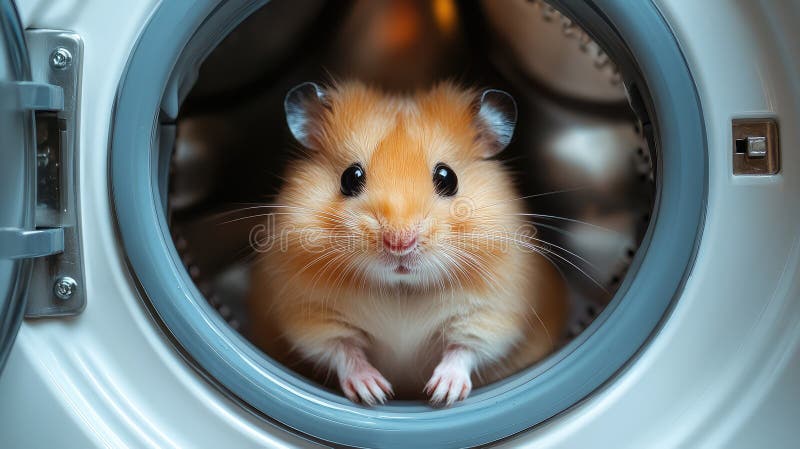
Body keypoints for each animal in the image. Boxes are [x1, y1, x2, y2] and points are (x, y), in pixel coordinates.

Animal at [247, 80, 568, 406]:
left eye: (447, 178)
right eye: (350, 177)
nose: (399, 242)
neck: (402, 289)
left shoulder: (492, 314)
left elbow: (465, 348)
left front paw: (441, 394)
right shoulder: (310, 314)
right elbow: (342, 347)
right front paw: (375, 393)